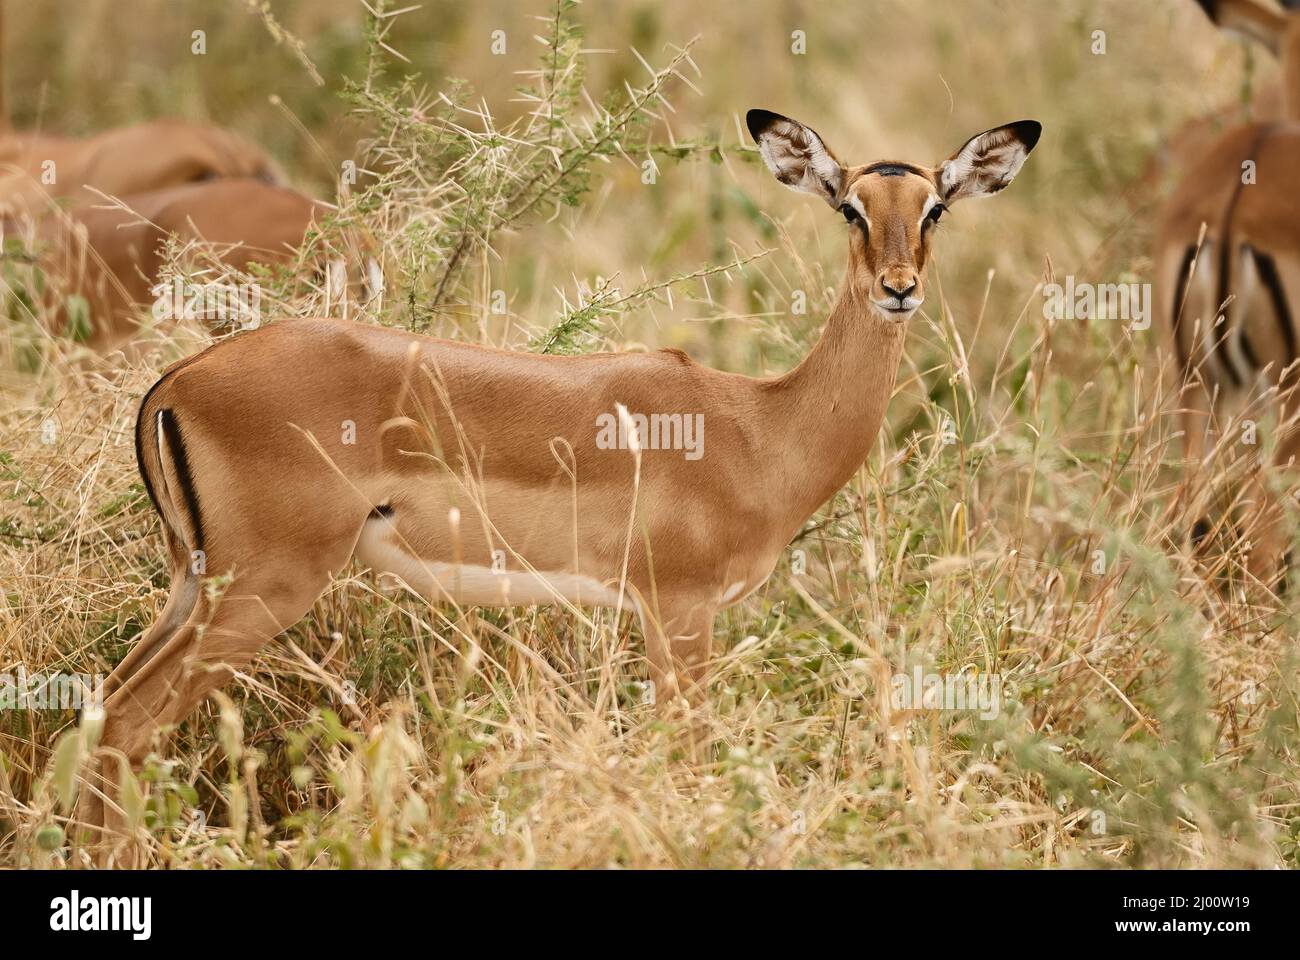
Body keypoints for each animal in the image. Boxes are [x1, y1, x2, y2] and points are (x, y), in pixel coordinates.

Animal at [77, 109, 1040, 845]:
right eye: (849, 207)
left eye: (935, 208)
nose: (898, 288)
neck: (759, 429)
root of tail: (179, 381)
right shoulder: (678, 611)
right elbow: (687, 760)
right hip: (263, 587)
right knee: (127, 722)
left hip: (195, 583)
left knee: (100, 710)